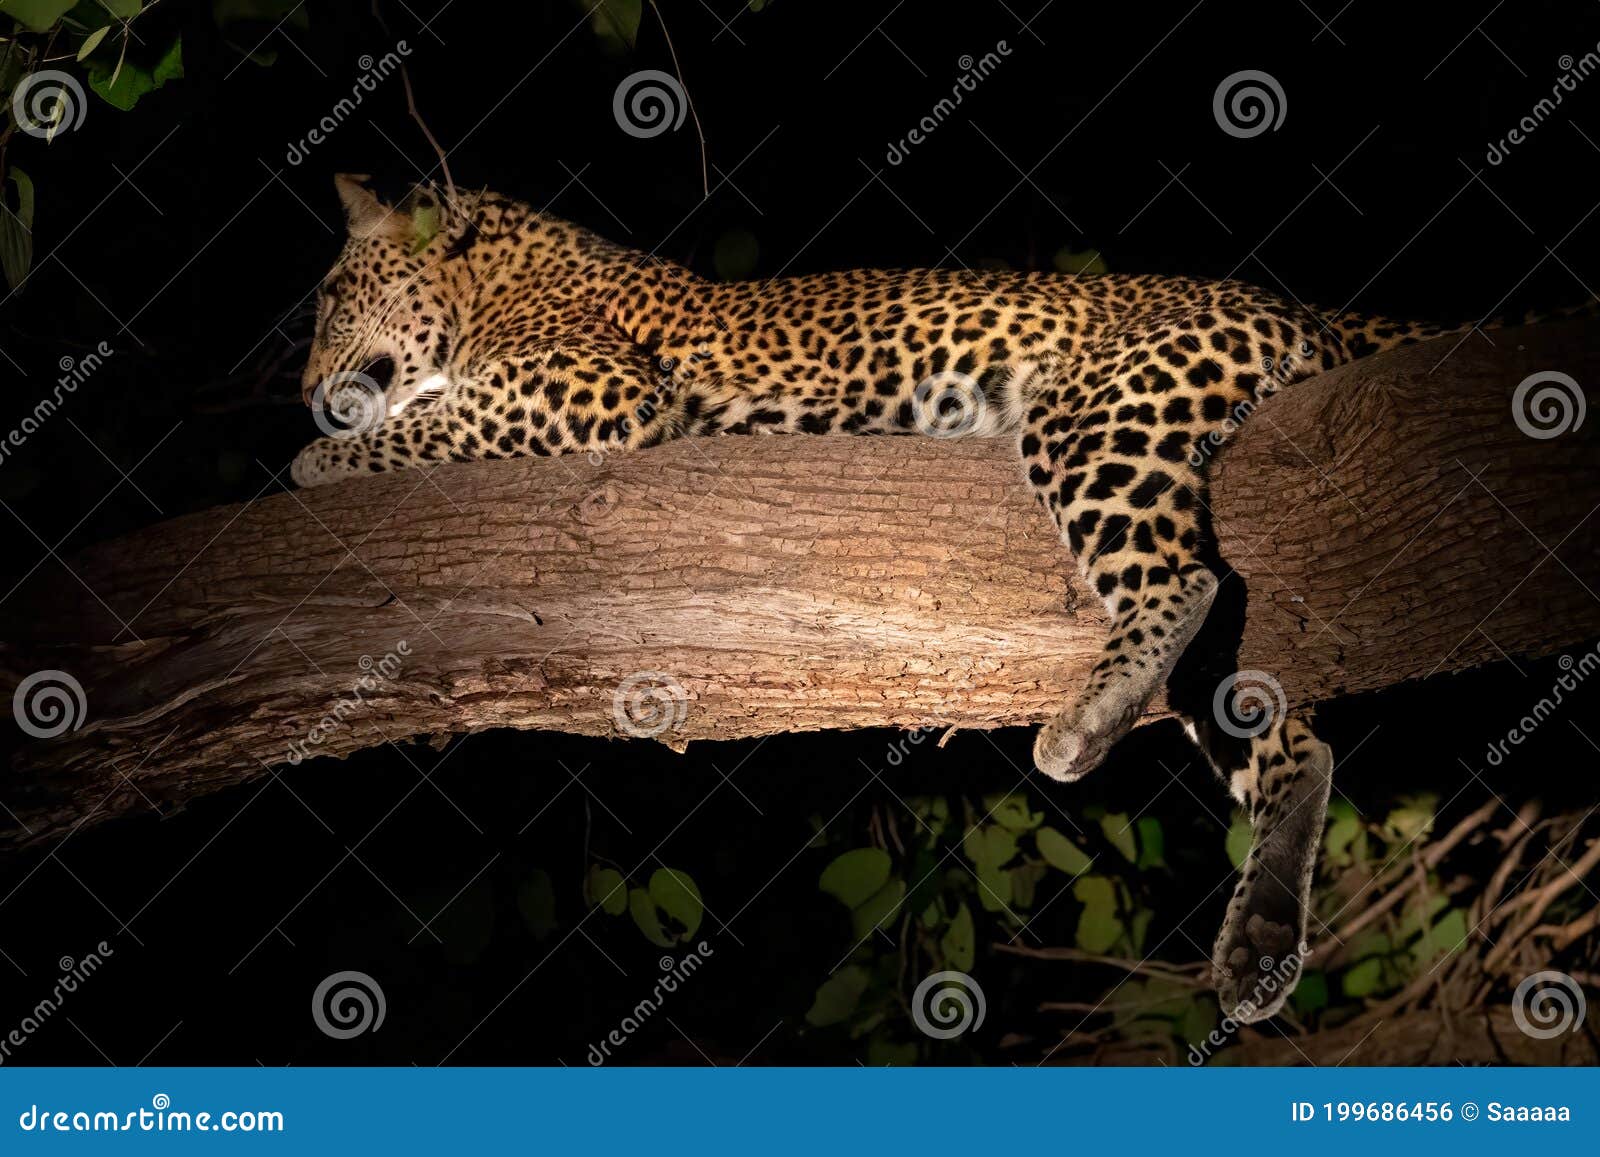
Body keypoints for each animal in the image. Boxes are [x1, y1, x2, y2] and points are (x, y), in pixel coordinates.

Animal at [291, 173, 1502, 1022]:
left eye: (336, 300)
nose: (304, 390)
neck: (494, 280)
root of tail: (1284, 299)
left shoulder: (596, 389)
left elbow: (433, 422)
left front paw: (314, 460)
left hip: (1102, 411)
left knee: (1189, 580)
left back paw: (1087, 721)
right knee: (1293, 741)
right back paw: (1261, 930)